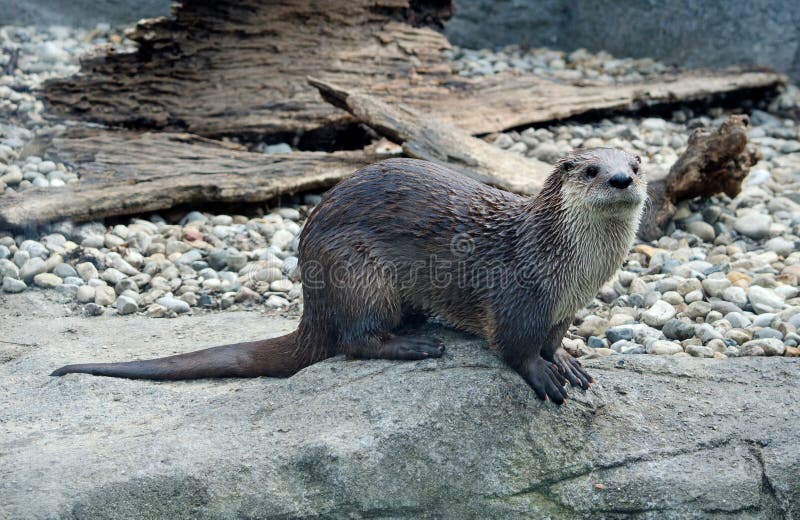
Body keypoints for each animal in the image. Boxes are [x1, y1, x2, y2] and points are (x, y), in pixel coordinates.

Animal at [52, 148, 646, 404]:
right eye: (591, 169)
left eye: (636, 165)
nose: (620, 178)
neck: (565, 265)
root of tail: (312, 302)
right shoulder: (517, 296)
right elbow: (515, 348)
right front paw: (542, 374)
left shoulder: (564, 309)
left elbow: (553, 341)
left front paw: (567, 362)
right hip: (359, 271)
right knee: (353, 341)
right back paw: (412, 346)